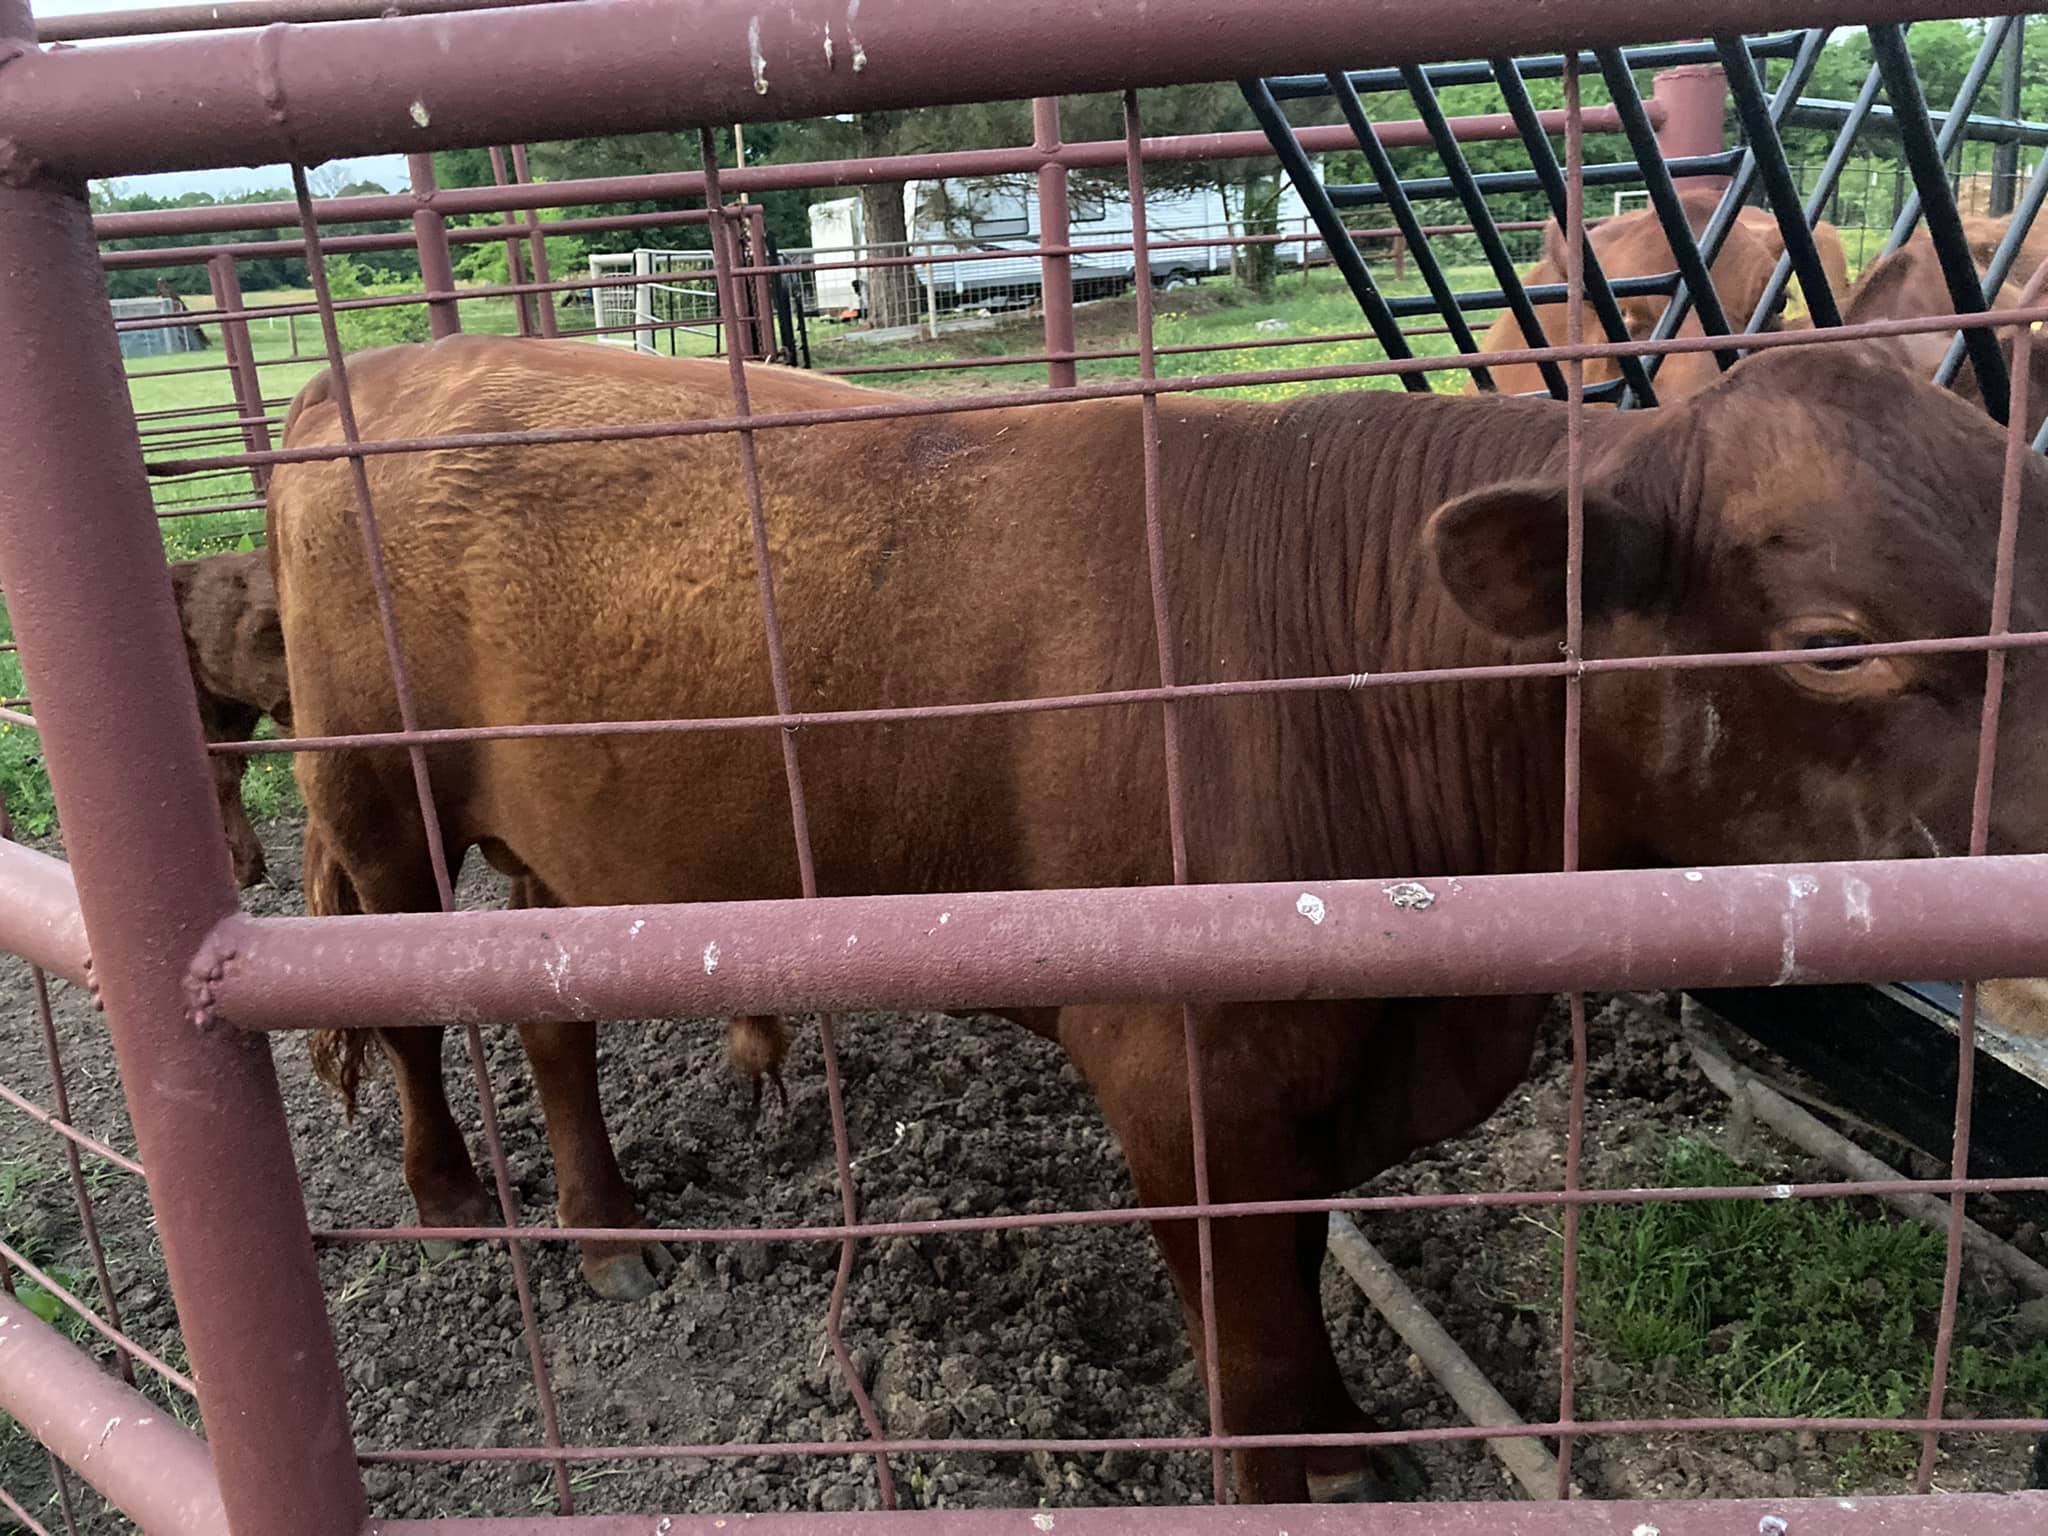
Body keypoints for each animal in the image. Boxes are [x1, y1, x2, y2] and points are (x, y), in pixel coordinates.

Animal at [266, 331, 2048, 1507]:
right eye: (1834, 641)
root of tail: (389, 367)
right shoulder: (1184, 1061)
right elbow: (1246, 1348)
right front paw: (1295, 1467)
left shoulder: (1295, 1078)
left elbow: (1281, 1291)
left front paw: (1353, 1445)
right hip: (376, 802)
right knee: (407, 1014)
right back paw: (453, 1199)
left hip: (552, 855)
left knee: (549, 1012)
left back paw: (608, 1226)